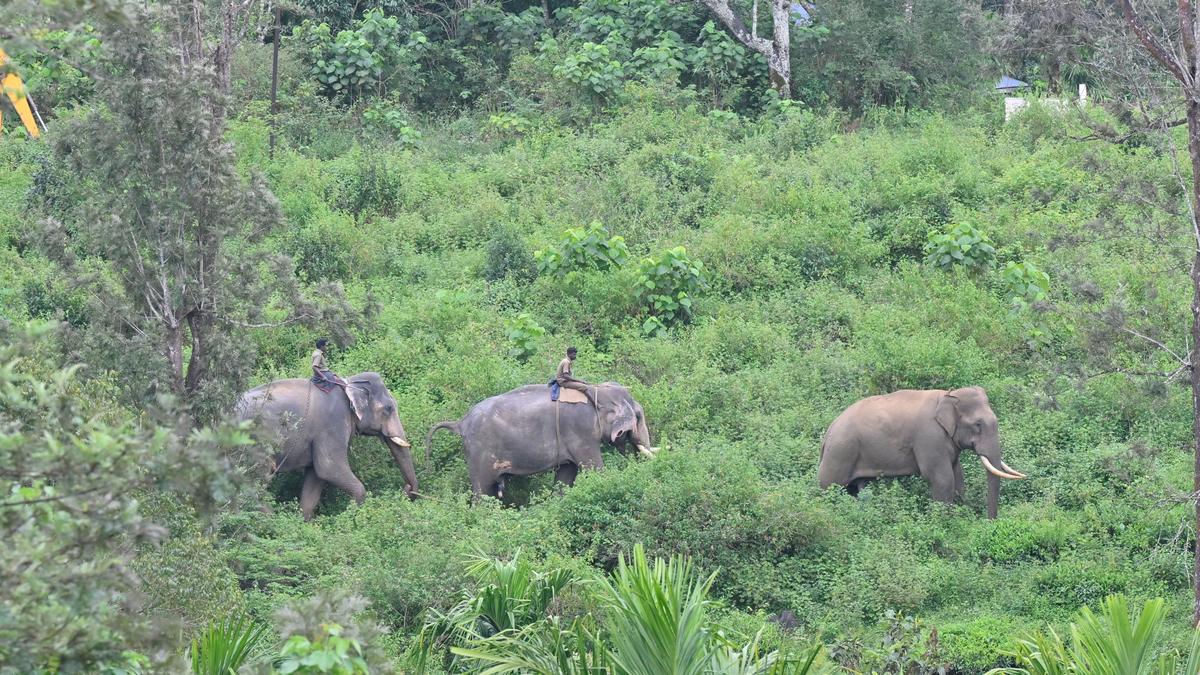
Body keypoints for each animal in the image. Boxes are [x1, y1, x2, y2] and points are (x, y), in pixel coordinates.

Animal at [235, 372, 417, 521]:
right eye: (389, 408)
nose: (407, 488)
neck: (347, 382)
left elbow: (316, 476)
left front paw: (304, 525)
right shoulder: (333, 425)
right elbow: (328, 468)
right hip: (254, 443)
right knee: (255, 482)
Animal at [425, 382, 656, 499]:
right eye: (638, 416)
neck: (596, 391)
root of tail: (460, 422)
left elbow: (566, 474)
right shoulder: (580, 433)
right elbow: (594, 469)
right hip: (479, 452)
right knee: (482, 490)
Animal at [817, 386, 1026, 519]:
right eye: (978, 424)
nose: (989, 522)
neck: (947, 395)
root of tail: (827, 434)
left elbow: (957, 475)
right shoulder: (929, 437)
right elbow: (942, 477)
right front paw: (945, 522)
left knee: (861, 488)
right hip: (840, 453)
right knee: (828, 487)